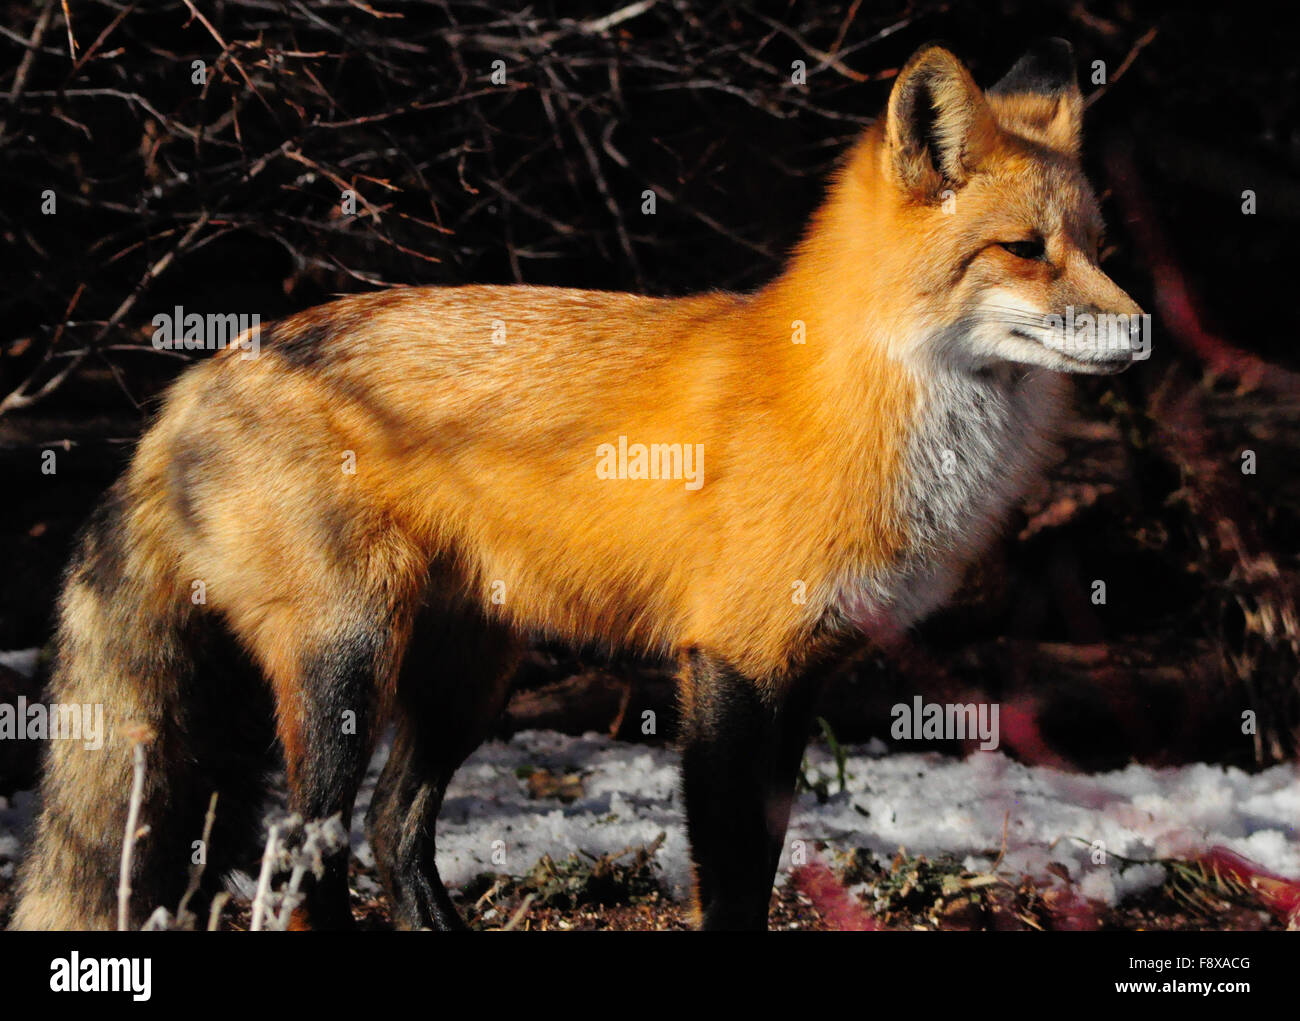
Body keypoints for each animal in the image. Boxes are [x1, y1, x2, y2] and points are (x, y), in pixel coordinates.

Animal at [13, 38, 1142, 931]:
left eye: (1098, 249)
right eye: (1023, 251)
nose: (1139, 332)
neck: (855, 401)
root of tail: (197, 377)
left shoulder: (802, 668)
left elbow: (760, 862)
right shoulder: (730, 661)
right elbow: (731, 883)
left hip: (467, 672)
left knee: (389, 832)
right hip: (349, 660)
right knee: (300, 854)